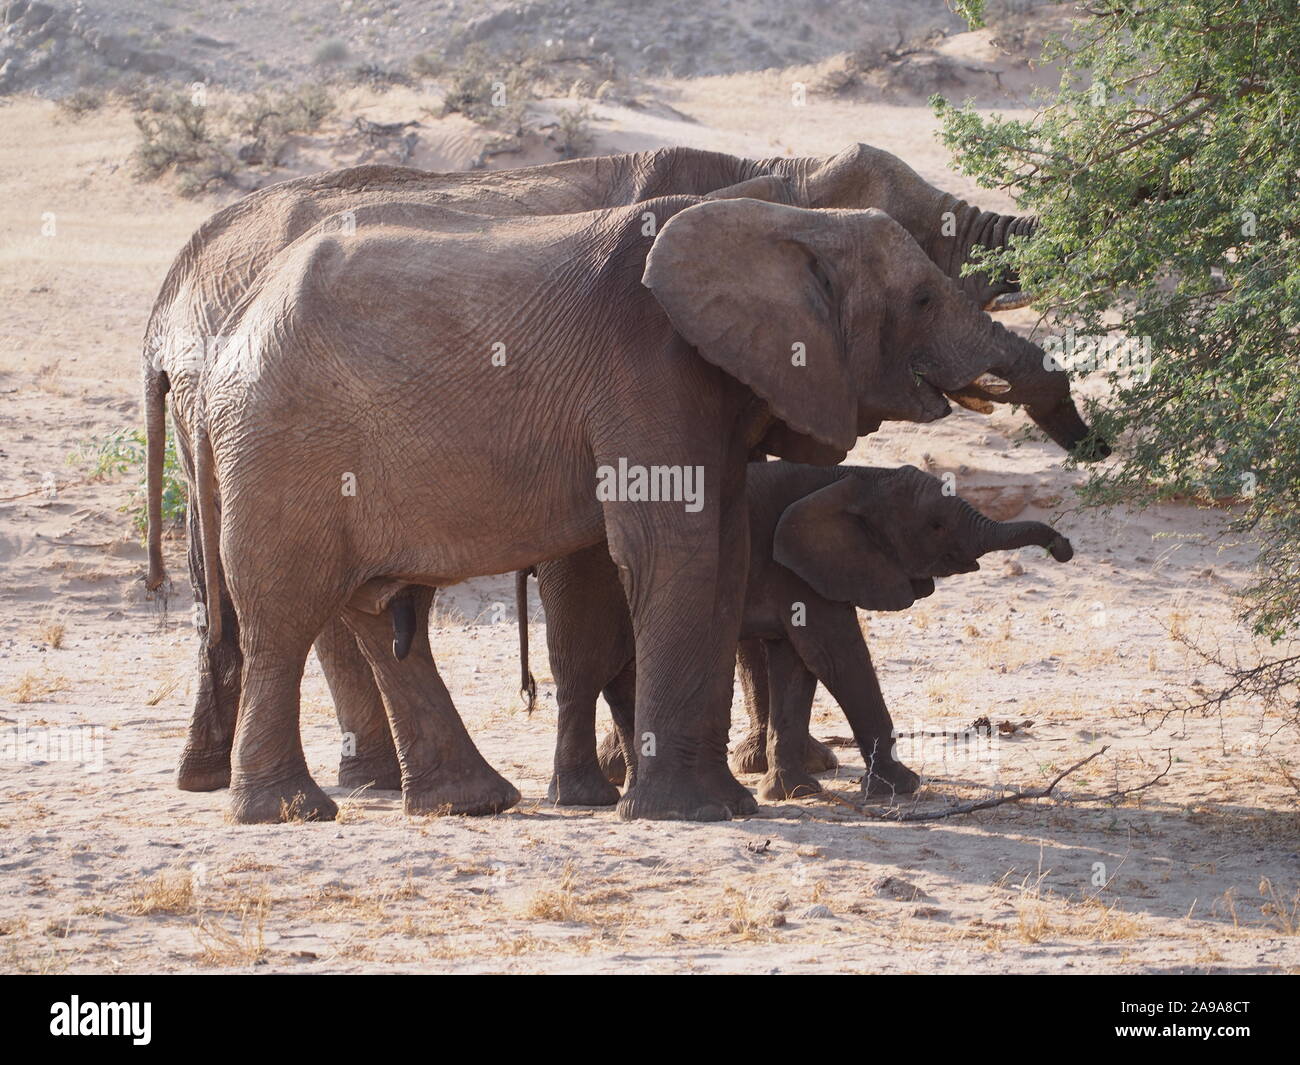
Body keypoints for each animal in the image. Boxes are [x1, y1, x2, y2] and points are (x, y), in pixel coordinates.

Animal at [522, 462, 1073, 807]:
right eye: (935, 525)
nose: (1064, 548)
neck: (855, 477)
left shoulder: (803, 573)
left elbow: (797, 662)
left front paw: (793, 792)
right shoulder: (803, 567)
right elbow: (836, 654)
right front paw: (902, 788)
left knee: (619, 671)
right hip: (577, 570)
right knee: (585, 672)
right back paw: (587, 798)